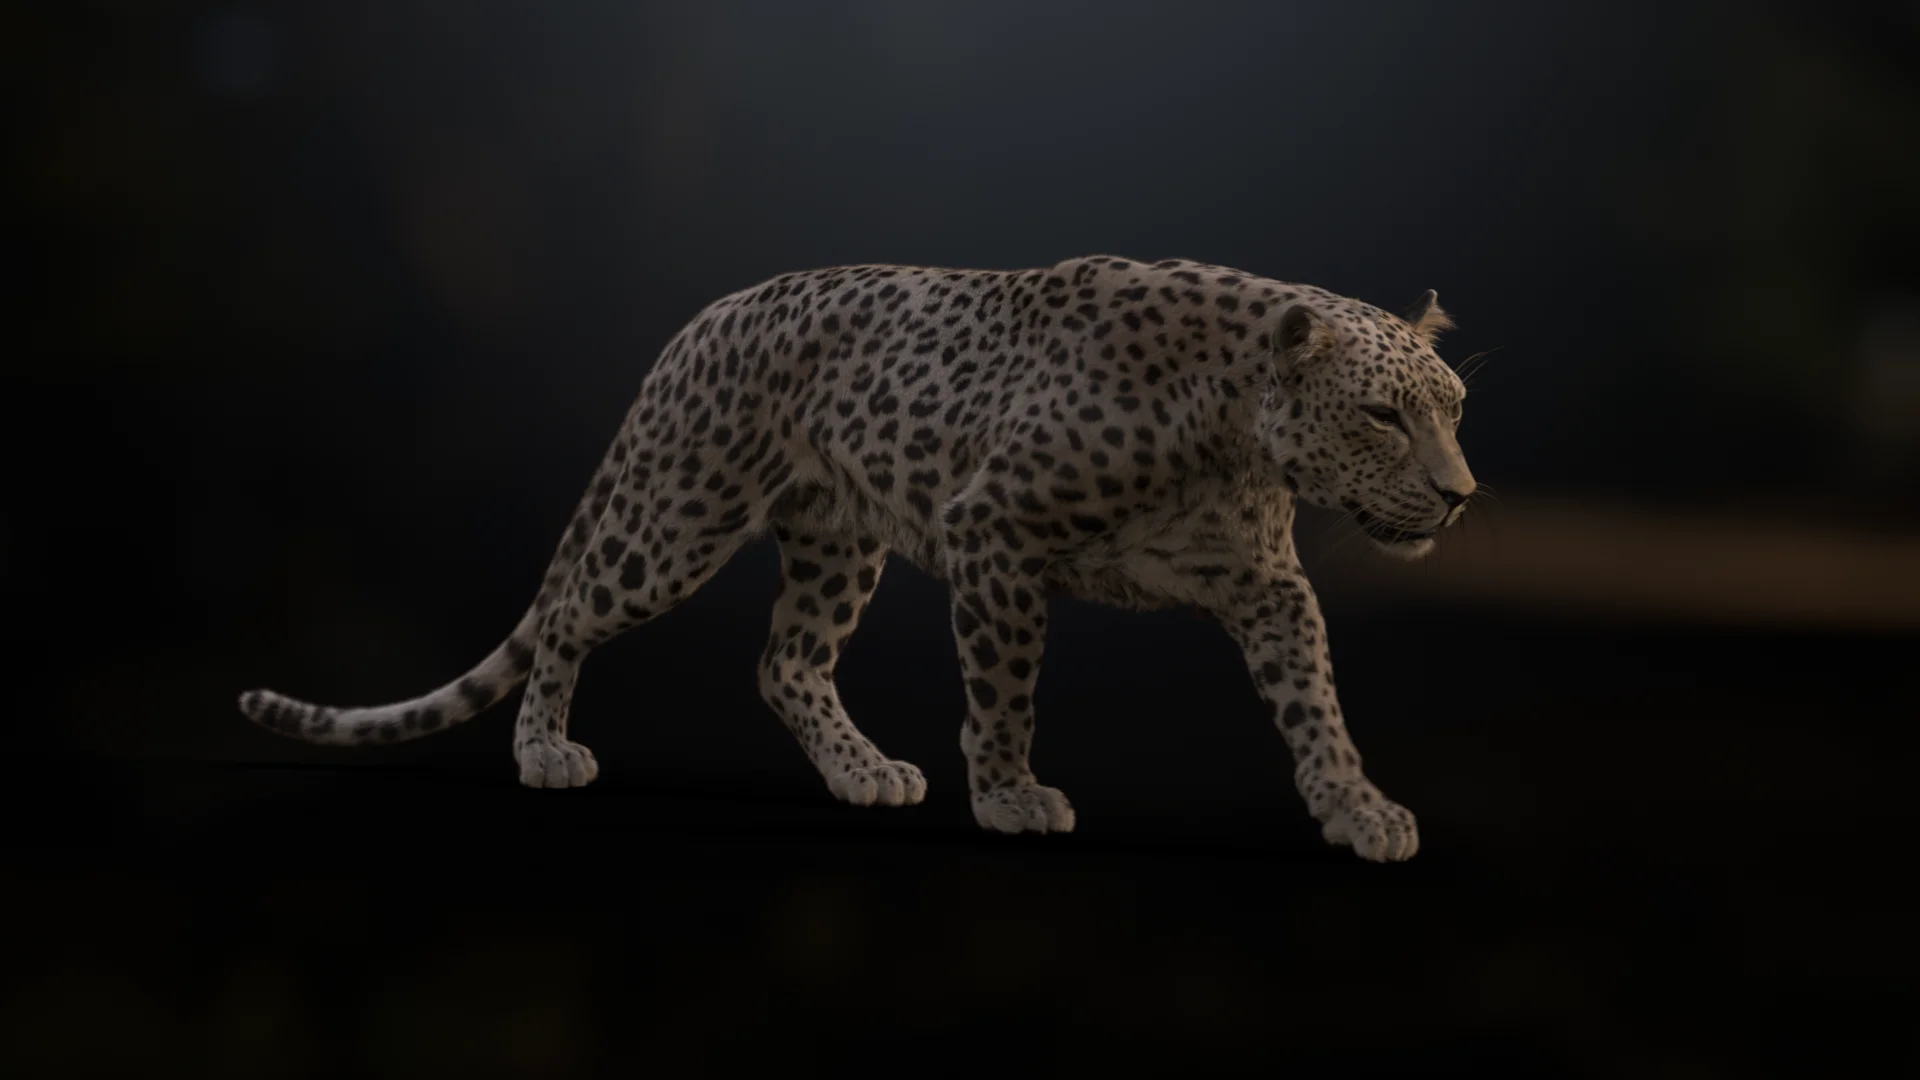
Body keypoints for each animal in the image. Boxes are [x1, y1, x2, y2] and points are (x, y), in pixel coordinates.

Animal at [238, 255, 1476, 862]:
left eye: (1455, 405)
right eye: (1381, 415)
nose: (1460, 497)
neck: (1230, 429)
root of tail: (697, 322)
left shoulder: (1269, 586)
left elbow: (1315, 705)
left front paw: (1360, 809)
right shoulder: (993, 535)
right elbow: (1006, 690)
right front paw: (1011, 794)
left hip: (837, 542)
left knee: (784, 663)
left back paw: (863, 771)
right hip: (674, 523)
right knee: (575, 614)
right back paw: (545, 749)